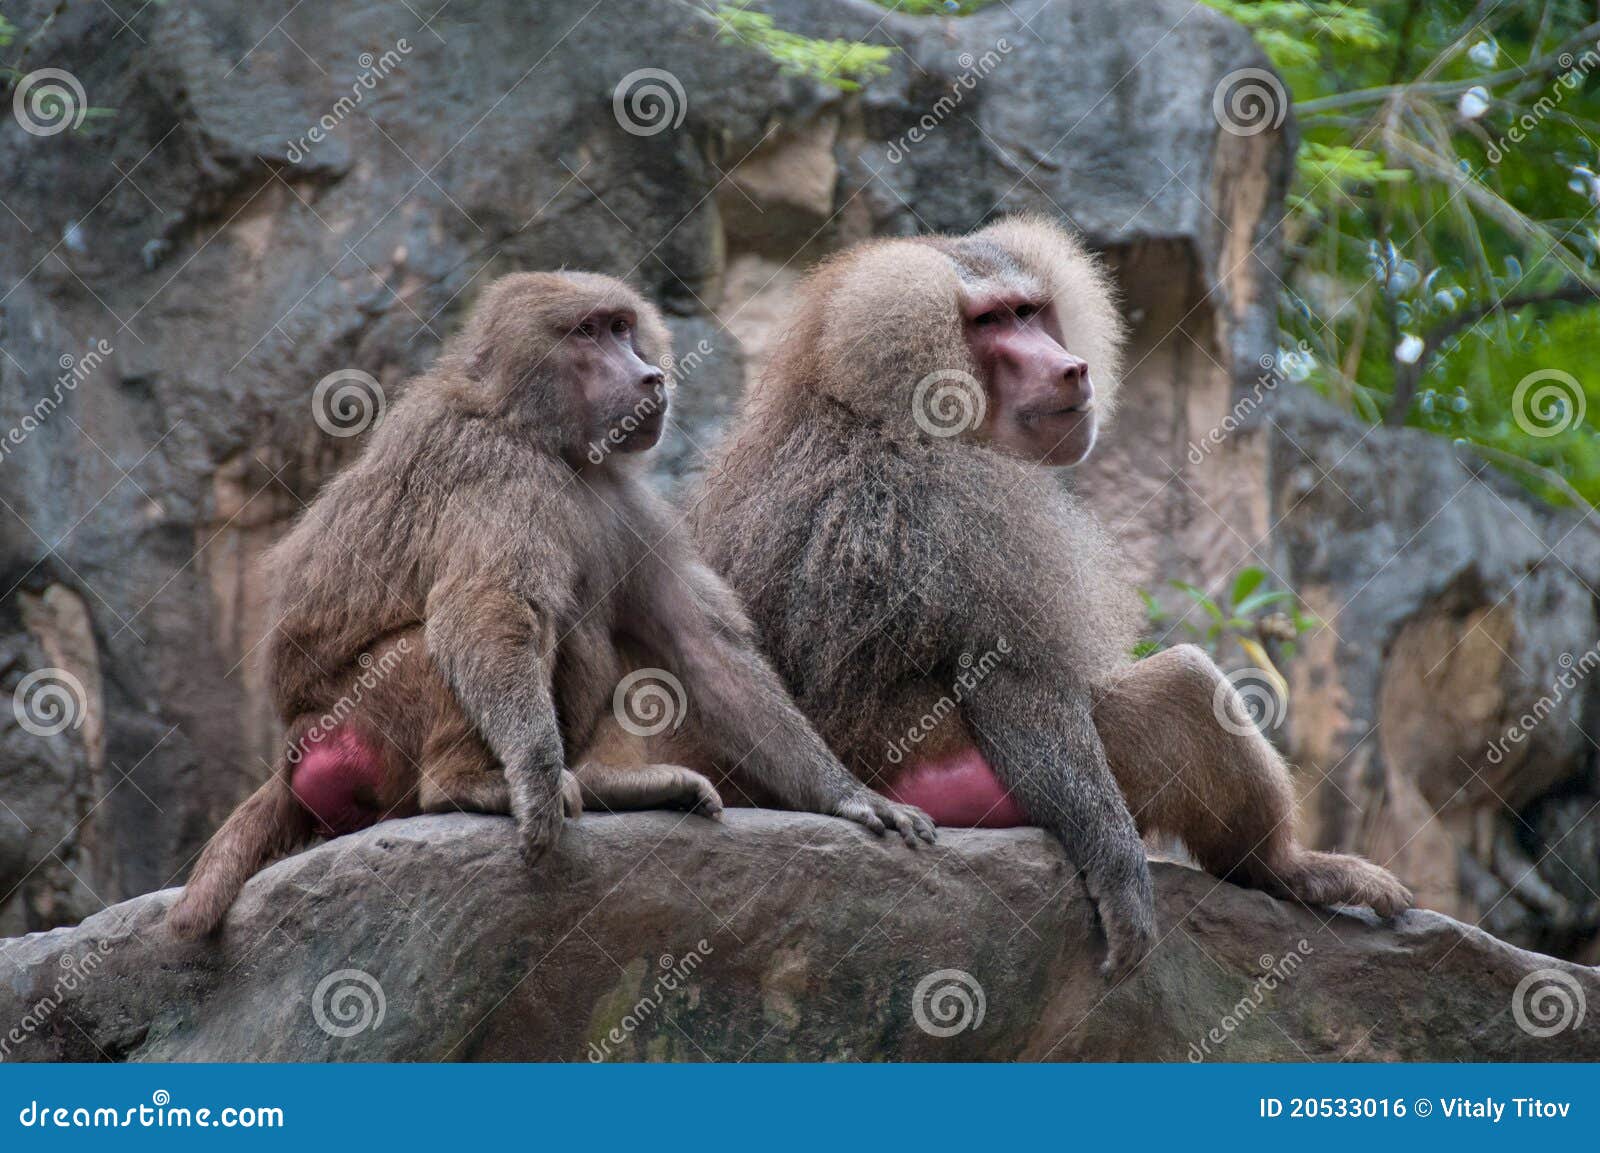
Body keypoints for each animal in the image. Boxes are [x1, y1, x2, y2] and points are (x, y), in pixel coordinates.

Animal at [166, 270, 934, 940]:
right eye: (588, 332)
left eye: (624, 328)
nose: (650, 376)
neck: (541, 438)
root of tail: (291, 747)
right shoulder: (499, 473)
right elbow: (488, 610)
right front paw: (533, 783)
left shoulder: (624, 504)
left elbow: (704, 648)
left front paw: (853, 797)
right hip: (351, 721)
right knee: (441, 645)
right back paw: (466, 786)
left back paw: (613, 785)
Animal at [692, 217, 1412, 979]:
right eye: (988, 322)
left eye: (1030, 311)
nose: (1071, 368)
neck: (869, 405)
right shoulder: (975, 508)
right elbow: (1013, 681)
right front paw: (1119, 870)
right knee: (1185, 686)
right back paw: (1285, 869)